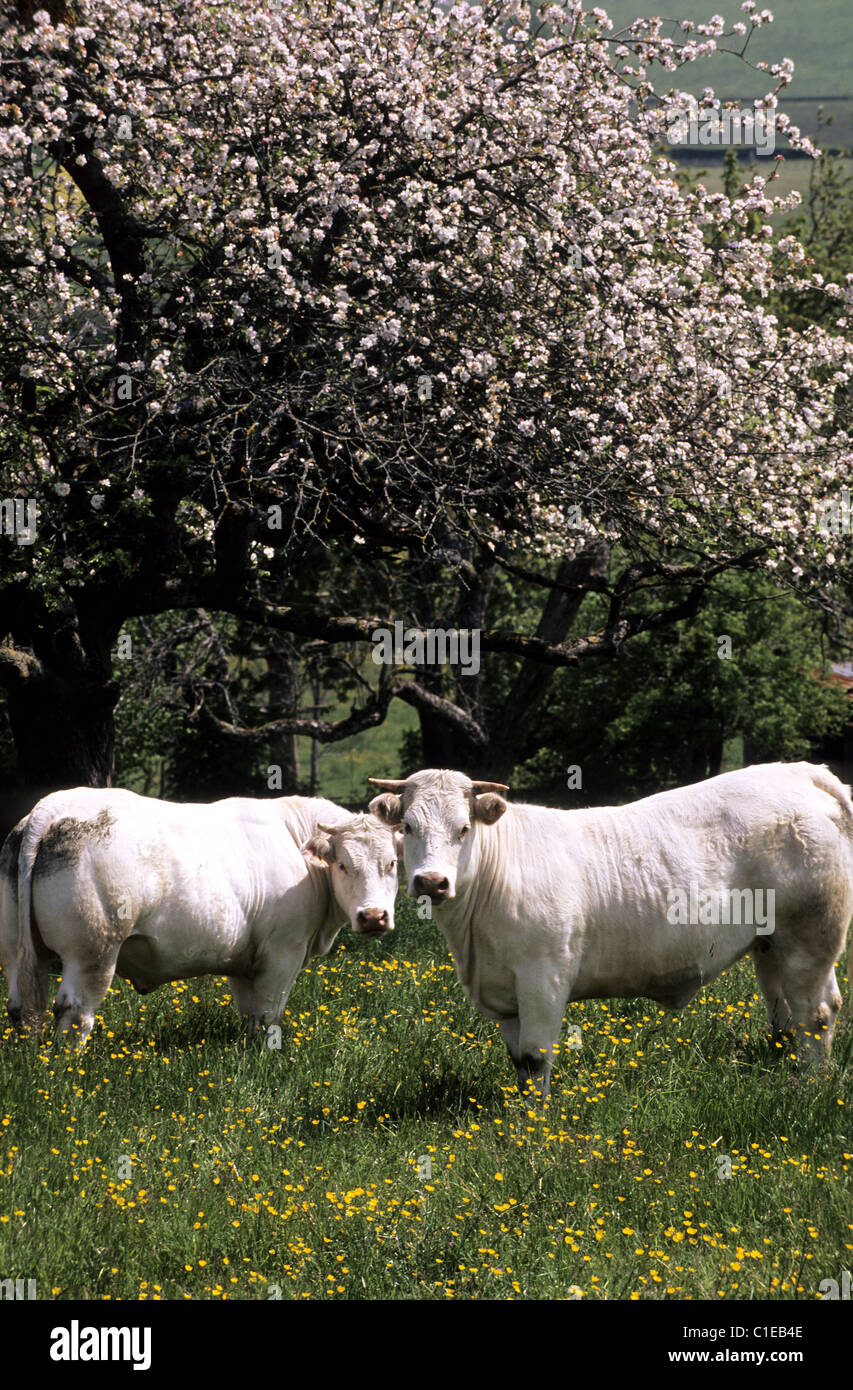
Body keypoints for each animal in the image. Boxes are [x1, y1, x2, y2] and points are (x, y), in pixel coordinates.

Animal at [0, 788, 401, 1044]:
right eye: (343, 865)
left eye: (392, 863)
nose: (373, 917)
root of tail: (49, 808)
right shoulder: (282, 953)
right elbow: (269, 1016)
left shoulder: (246, 963)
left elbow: (251, 1017)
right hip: (92, 953)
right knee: (74, 1012)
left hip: (16, 952)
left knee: (21, 1008)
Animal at [369, 764, 853, 1098]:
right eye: (407, 826)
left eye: (464, 828)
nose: (432, 882)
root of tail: (801, 772)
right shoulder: (504, 989)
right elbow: (517, 1060)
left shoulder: (543, 976)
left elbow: (535, 1055)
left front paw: (534, 1128)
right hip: (769, 944)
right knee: (784, 1014)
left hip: (810, 935)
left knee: (818, 1011)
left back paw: (810, 1084)